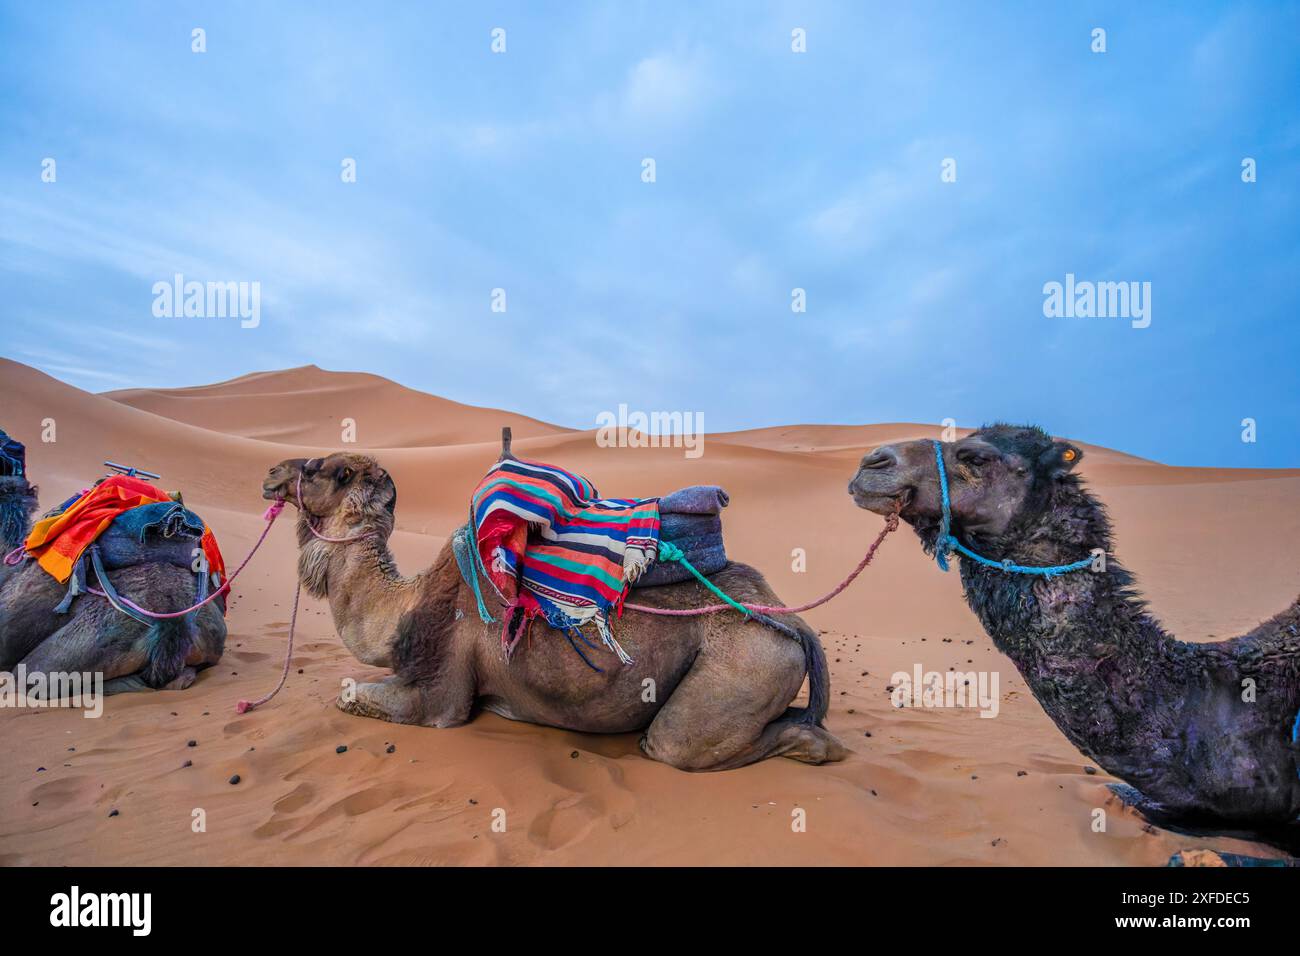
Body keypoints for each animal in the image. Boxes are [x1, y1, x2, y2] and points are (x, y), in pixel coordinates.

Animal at [261, 452, 846, 771]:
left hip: (745, 663)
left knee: (678, 743)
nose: (272, 473)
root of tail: (791, 619)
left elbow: (350, 695)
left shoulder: (439, 695)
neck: (401, 607)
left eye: (326, 470)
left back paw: (825, 748)